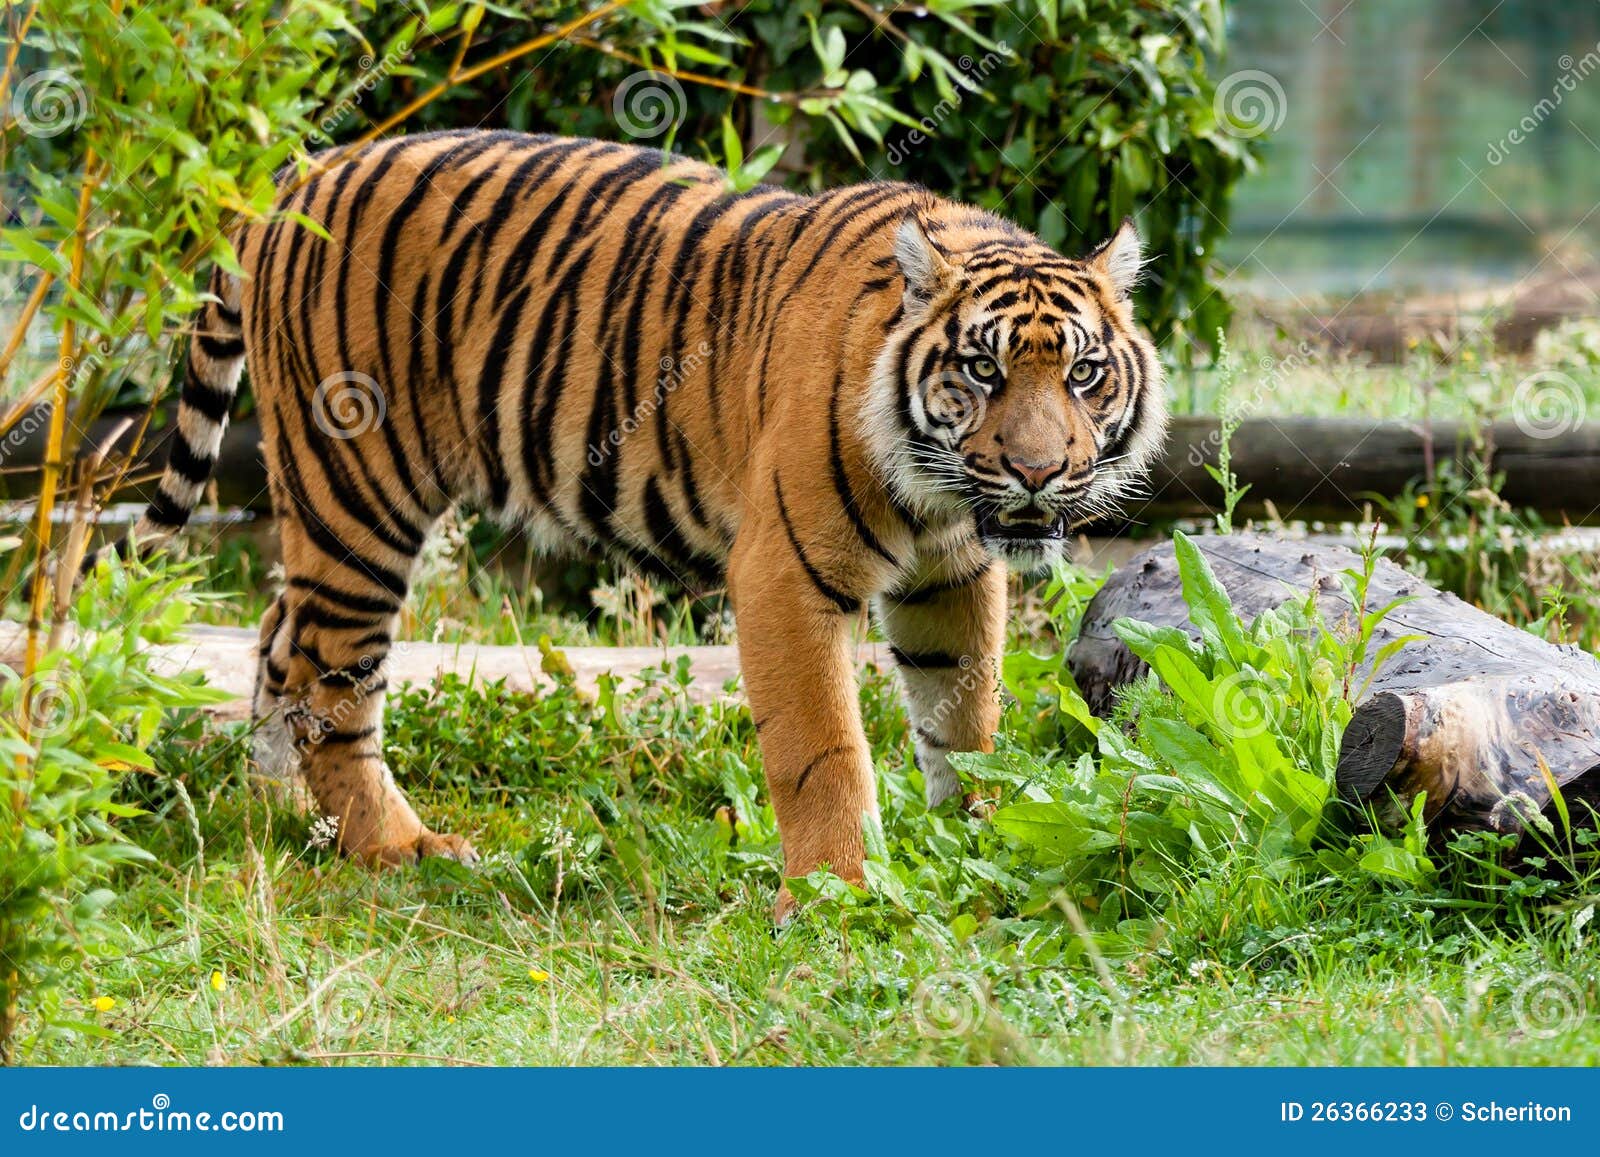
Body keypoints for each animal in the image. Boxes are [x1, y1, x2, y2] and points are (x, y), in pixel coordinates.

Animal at [122, 129, 1167, 918]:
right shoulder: (785, 572)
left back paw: (276, 812)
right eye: (983, 370)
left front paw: (983, 834)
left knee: (276, 634)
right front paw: (835, 894)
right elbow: (823, 749)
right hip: (358, 488)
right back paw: (395, 844)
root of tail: (300, 174)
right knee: (323, 668)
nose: (1038, 472)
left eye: (1083, 373)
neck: (934, 485)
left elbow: (965, 713)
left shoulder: (950, 572)